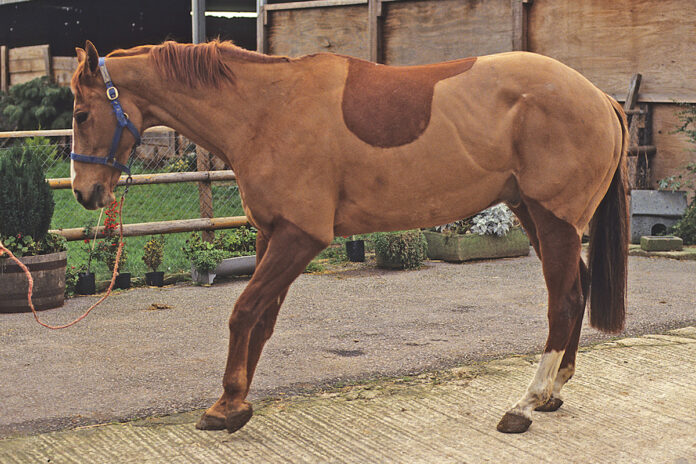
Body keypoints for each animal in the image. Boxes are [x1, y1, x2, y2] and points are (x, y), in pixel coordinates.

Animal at [69, 40, 628, 434]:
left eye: (79, 113)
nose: (83, 192)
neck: (267, 108)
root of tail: (601, 98)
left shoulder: (299, 237)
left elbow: (243, 312)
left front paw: (225, 405)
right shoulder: (271, 235)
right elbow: (262, 320)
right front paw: (237, 400)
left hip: (553, 219)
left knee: (564, 300)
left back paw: (526, 404)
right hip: (532, 213)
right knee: (576, 288)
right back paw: (553, 392)